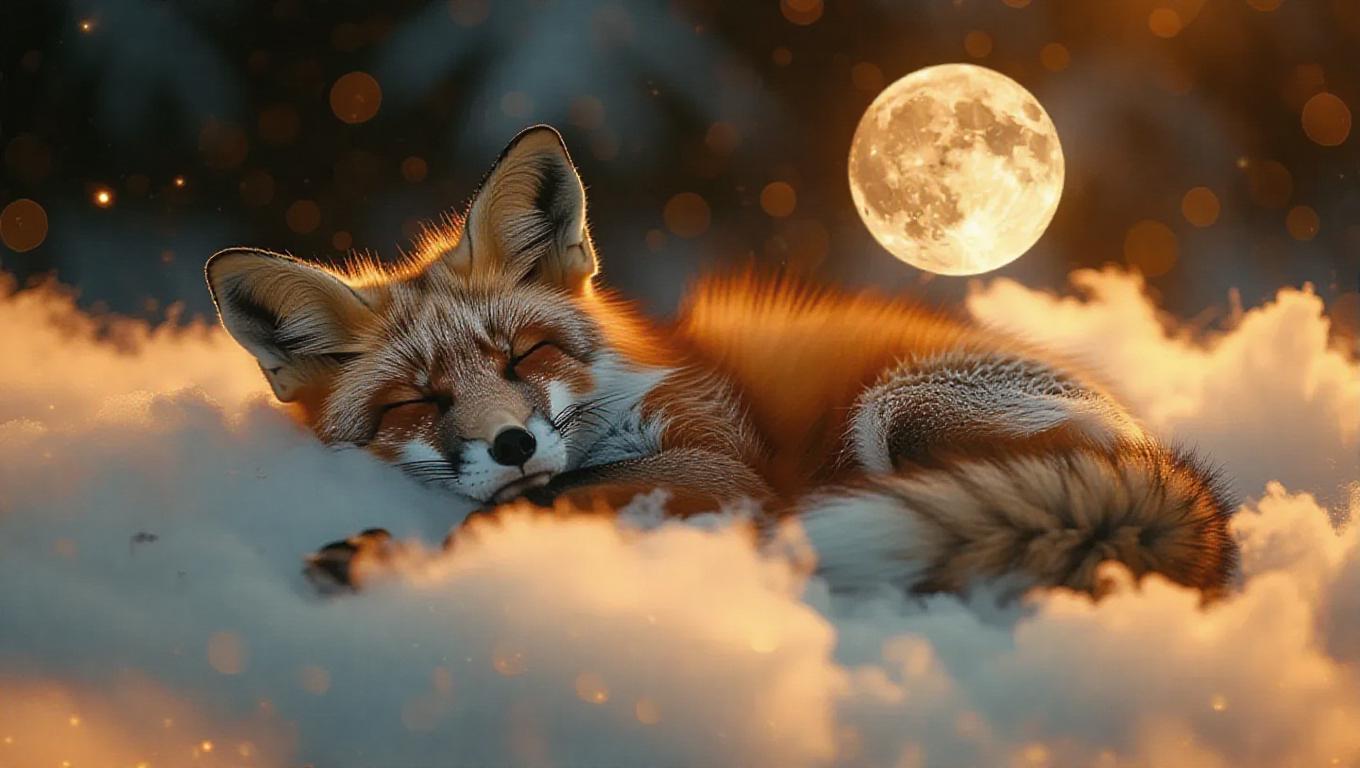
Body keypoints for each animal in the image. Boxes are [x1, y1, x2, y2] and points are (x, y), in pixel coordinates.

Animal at [206, 125, 1235, 598]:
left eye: (526, 353)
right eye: (412, 403)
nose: (510, 446)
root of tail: (1178, 481)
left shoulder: (724, 465)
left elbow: (532, 507)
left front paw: (399, 560)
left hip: (899, 411)